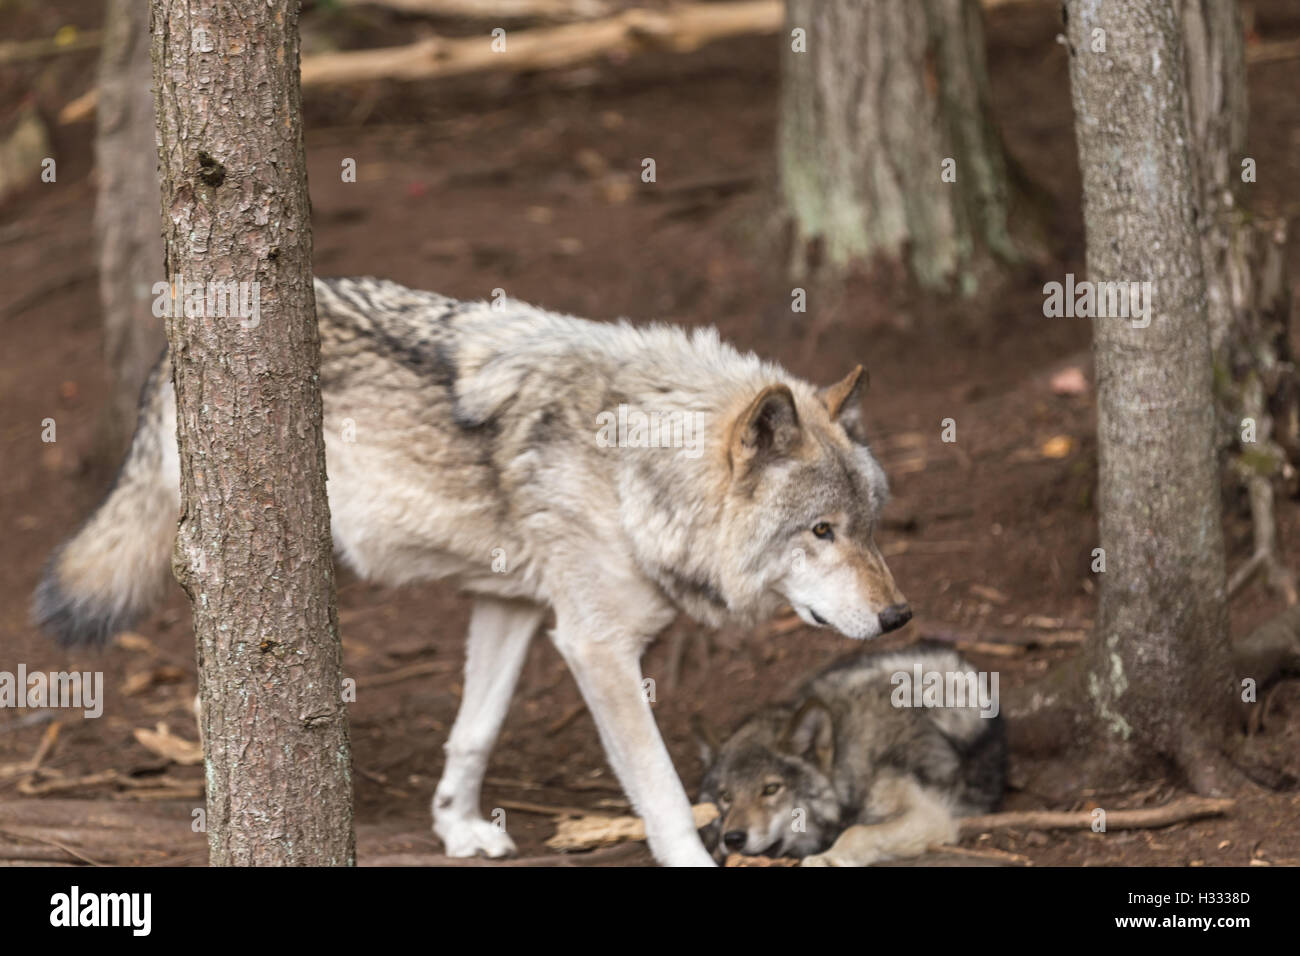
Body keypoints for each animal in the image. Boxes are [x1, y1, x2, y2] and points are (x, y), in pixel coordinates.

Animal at [32, 276, 910, 867]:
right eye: (820, 531)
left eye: (869, 527)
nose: (900, 617)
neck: (634, 464)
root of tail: (170, 351)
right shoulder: (596, 645)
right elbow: (661, 787)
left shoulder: (509, 604)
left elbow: (474, 730)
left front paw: (456, 826)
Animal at [696, 647, 1006, 866]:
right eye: (726, 797)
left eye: (771, 789)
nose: (733, 839)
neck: (849, 757)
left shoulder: (929, 814)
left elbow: (858, 831)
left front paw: (827, 858)